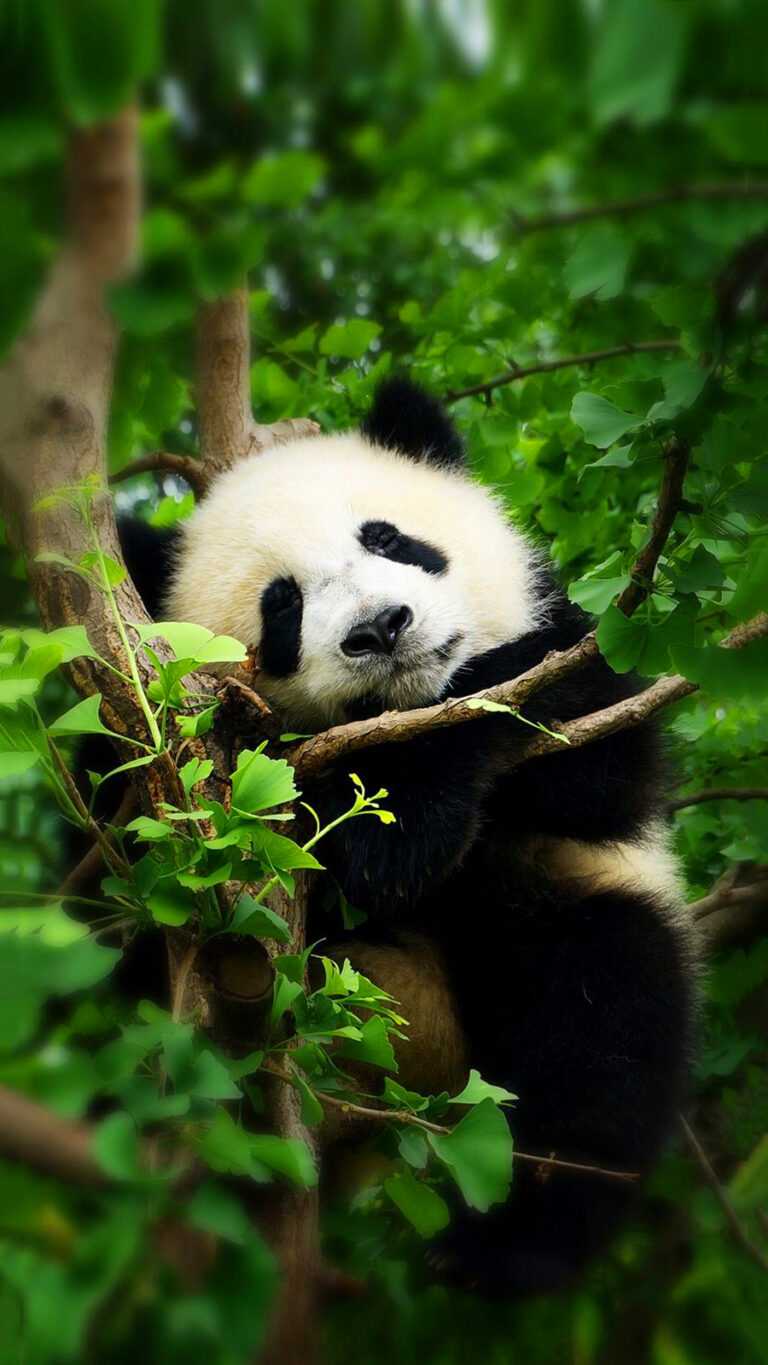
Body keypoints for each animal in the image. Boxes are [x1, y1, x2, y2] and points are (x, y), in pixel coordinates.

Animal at [124, 378, 698, 1297]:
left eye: (388, 538)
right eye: (282, 605)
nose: (383, 626)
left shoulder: (584, 661)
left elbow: (597, 762)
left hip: (558, 920)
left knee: (603, 1032)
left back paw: (504, 1245)